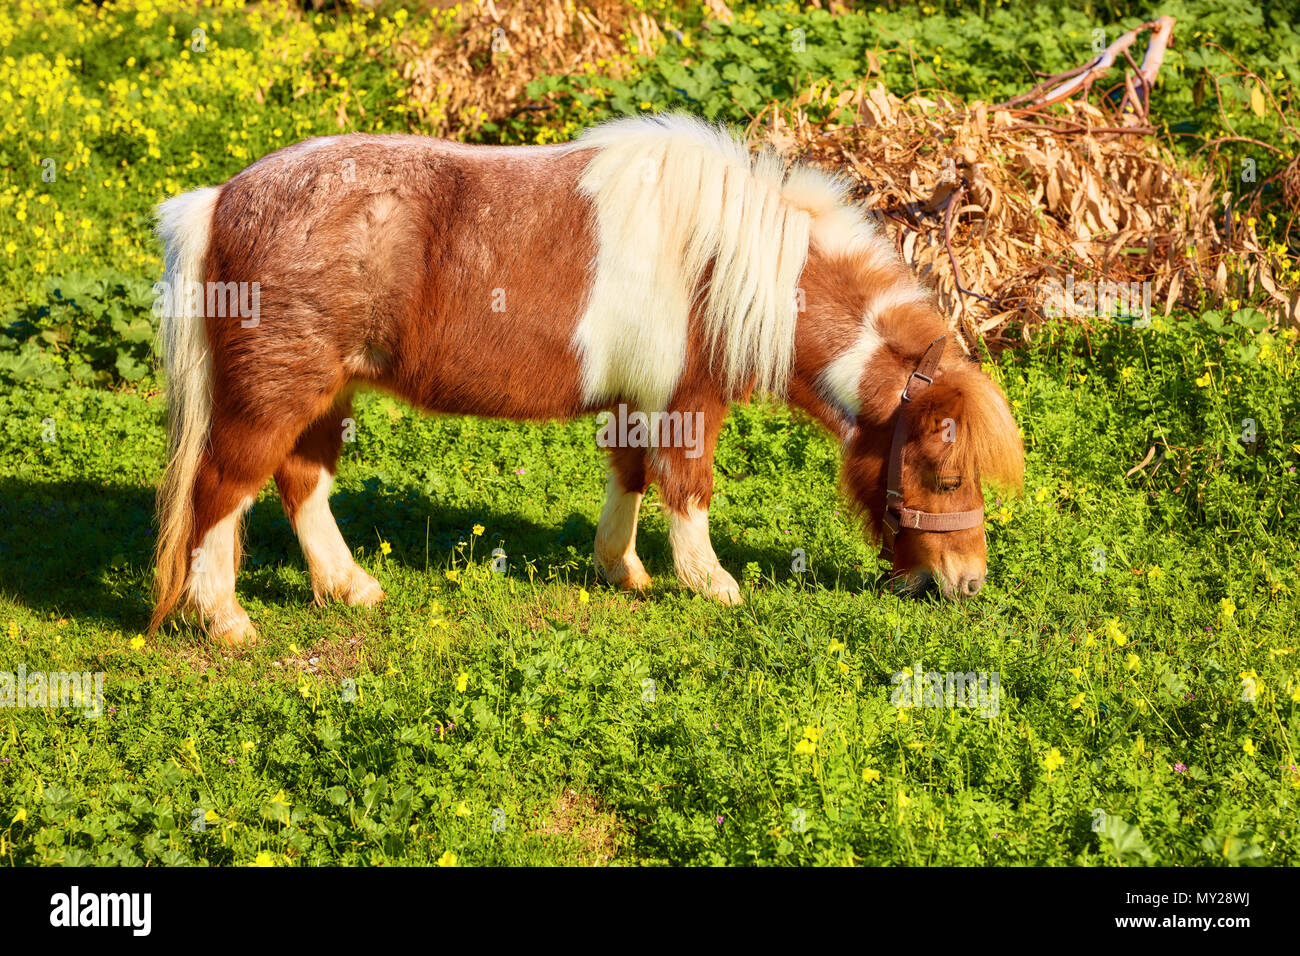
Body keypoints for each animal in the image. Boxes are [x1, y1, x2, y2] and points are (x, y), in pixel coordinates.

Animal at [150, 114, 1023, 645]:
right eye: (946, 472)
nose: (968, 583)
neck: (724, 264)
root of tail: (221, 200)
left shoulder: (640, 404)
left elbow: (630, 478)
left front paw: (622, 570)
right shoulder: (688, 404)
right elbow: (688, 491)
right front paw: (712, 585)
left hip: (325, 396)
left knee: (298, 485)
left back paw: (348, 588)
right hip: (277, 395)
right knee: (222, 488)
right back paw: (225, 620)